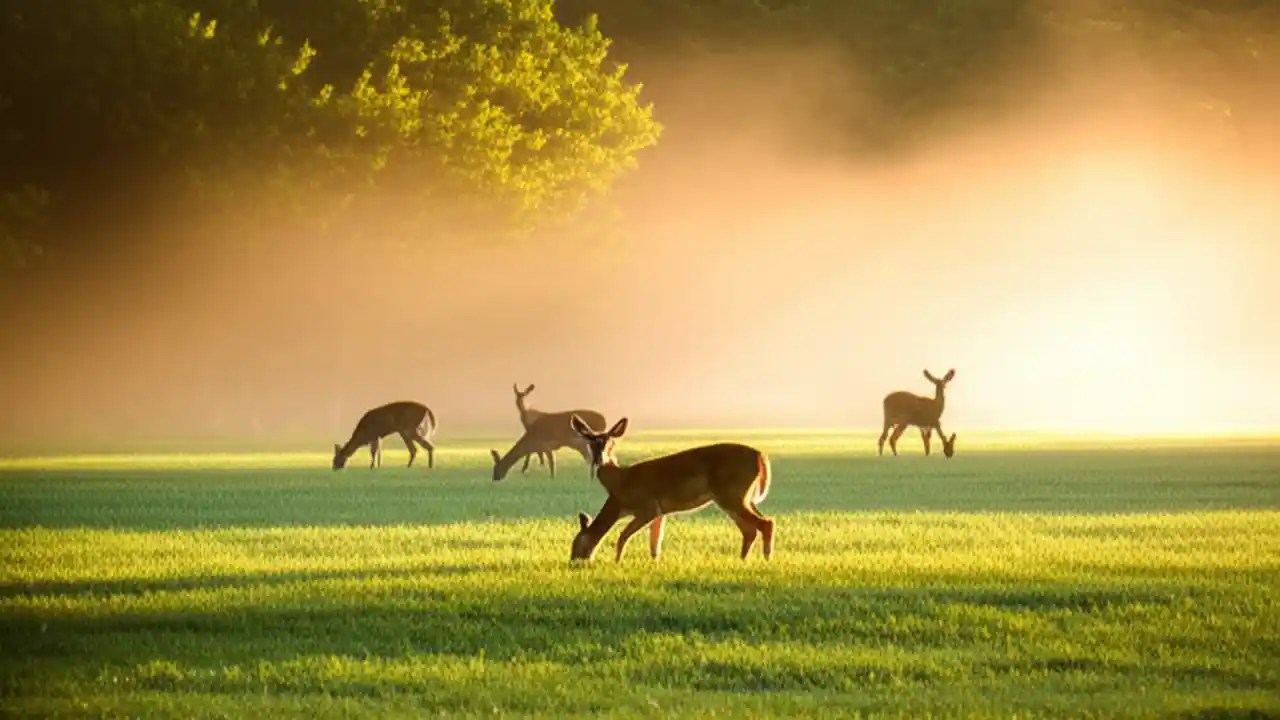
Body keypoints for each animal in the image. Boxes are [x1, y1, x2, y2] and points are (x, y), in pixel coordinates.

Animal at [568, 415, 774, 562]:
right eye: (589, 442)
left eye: (576, 544)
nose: (573, 562)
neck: (618, 501)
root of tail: (761, 457)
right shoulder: (660, 511)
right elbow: (654, 544)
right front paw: (654, 563)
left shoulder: (648, 506)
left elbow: (623, 536)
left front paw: (617, 562)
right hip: (739, 496)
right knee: (751, 529)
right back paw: (743, 560)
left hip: (731, 494)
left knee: (765, 523)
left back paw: (765, 559)